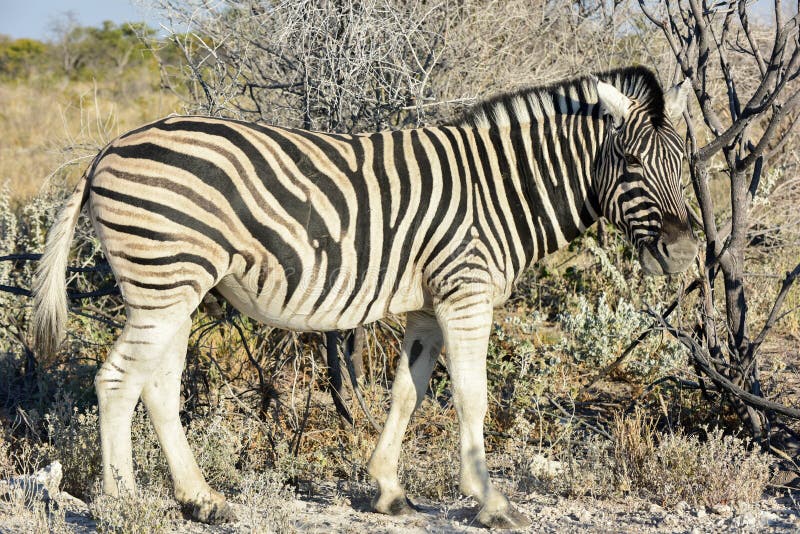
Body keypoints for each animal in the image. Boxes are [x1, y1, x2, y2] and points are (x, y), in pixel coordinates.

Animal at [32, 66, 696, 528]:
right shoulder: (466, 291)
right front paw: (490, 502)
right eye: (631, 162)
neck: (501, 189)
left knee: (158, 384)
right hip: (164, 279)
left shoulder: (430, 305)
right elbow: (472, 398)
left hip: (176, 285)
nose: (687, 252)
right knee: (118, 380)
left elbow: (407, 392)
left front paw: (388, 490)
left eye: (684, 162)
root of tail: (110, 147)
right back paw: (125, 505)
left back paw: (201, 500)